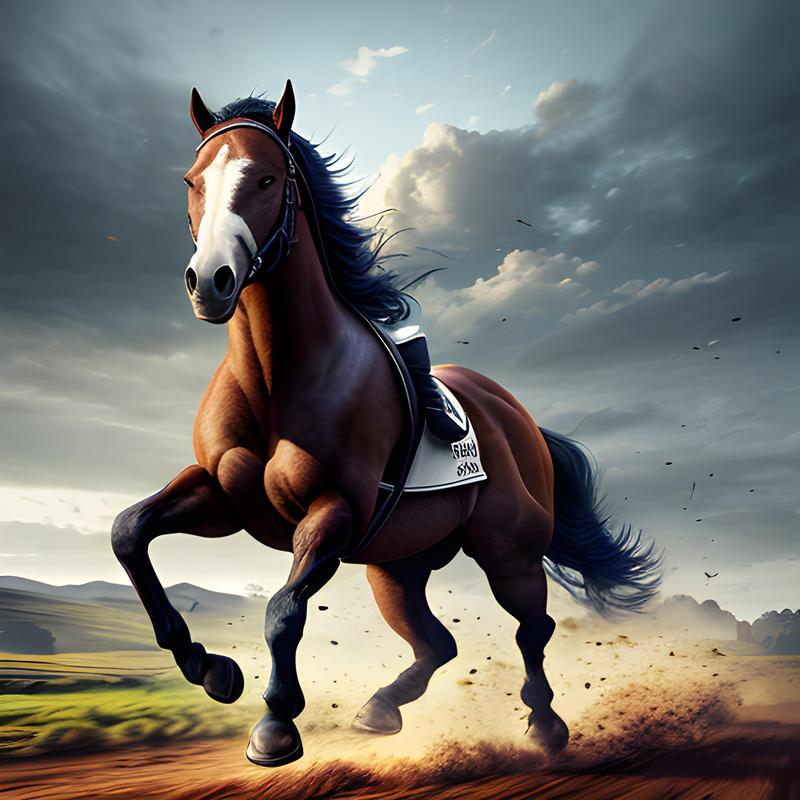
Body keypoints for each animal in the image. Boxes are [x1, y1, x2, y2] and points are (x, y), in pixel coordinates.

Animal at [111, 80, 661, 767]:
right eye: (192, 181)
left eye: (266, 179)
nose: (209, 281)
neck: (276, 376)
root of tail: (521, 418)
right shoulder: (223, 498)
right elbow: (129, 532)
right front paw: (210, 669)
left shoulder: (334, 511)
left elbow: (283, 609)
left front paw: (275, 724)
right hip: (396, 566)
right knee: (438, 644)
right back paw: (380, 707)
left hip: (508, 552)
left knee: (532, 627)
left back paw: (544, 724)